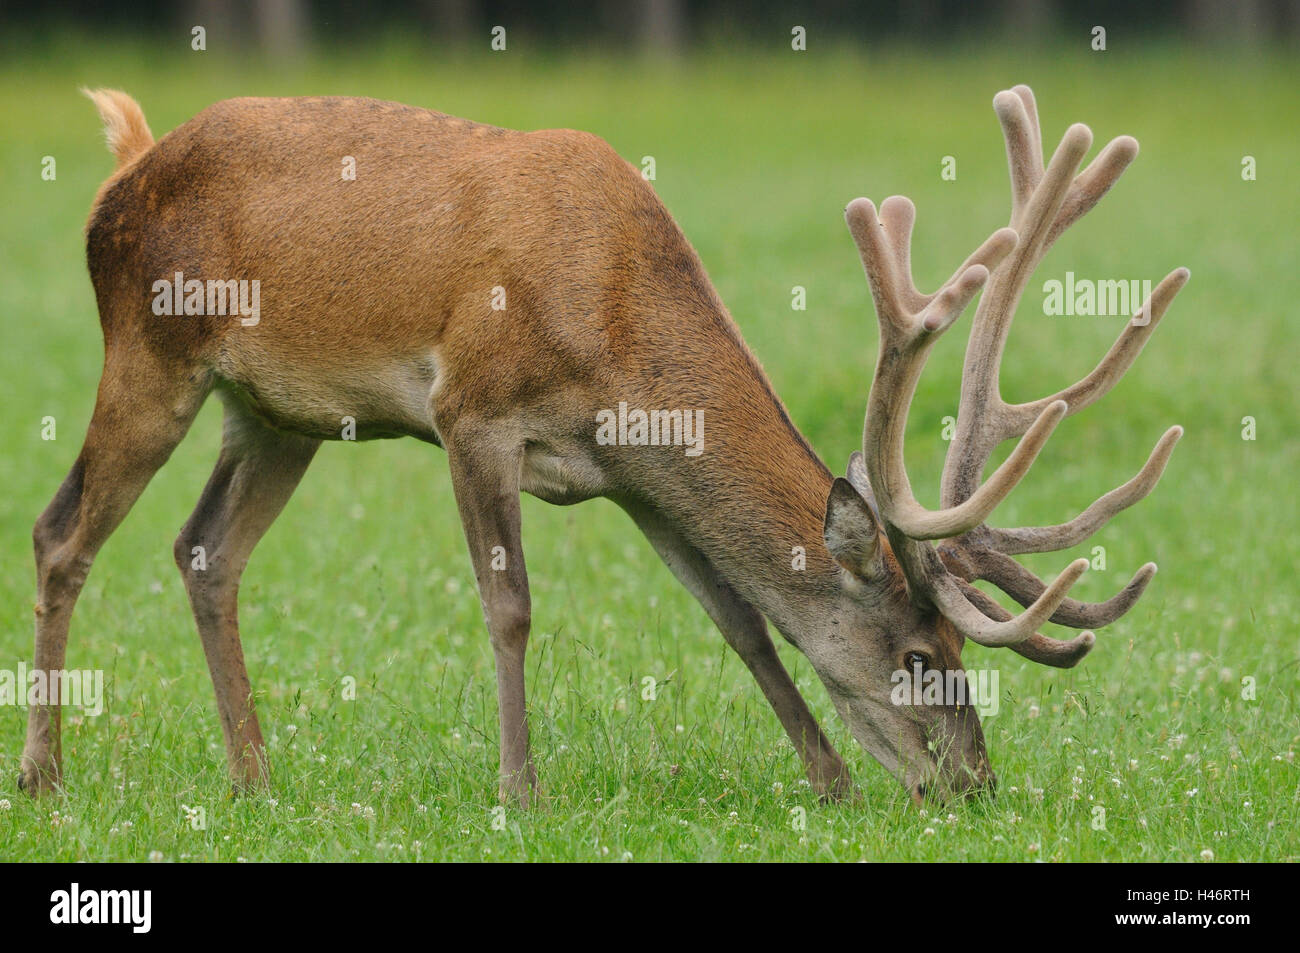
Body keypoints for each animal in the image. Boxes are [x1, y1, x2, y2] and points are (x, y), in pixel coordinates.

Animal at [21, 84, 1185, 807]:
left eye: (956, 652)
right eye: (918, 655)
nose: (974, 783)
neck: (615, 321)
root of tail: (123, 167)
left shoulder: (634, 476)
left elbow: (740, 621)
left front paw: (829, 779)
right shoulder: (472, 410)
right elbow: (511, 605)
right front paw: (519, 788)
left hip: (278, 412)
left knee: (205, 549)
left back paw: (255, 776)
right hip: (151, 349)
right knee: (60, 531)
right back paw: (45, 773)